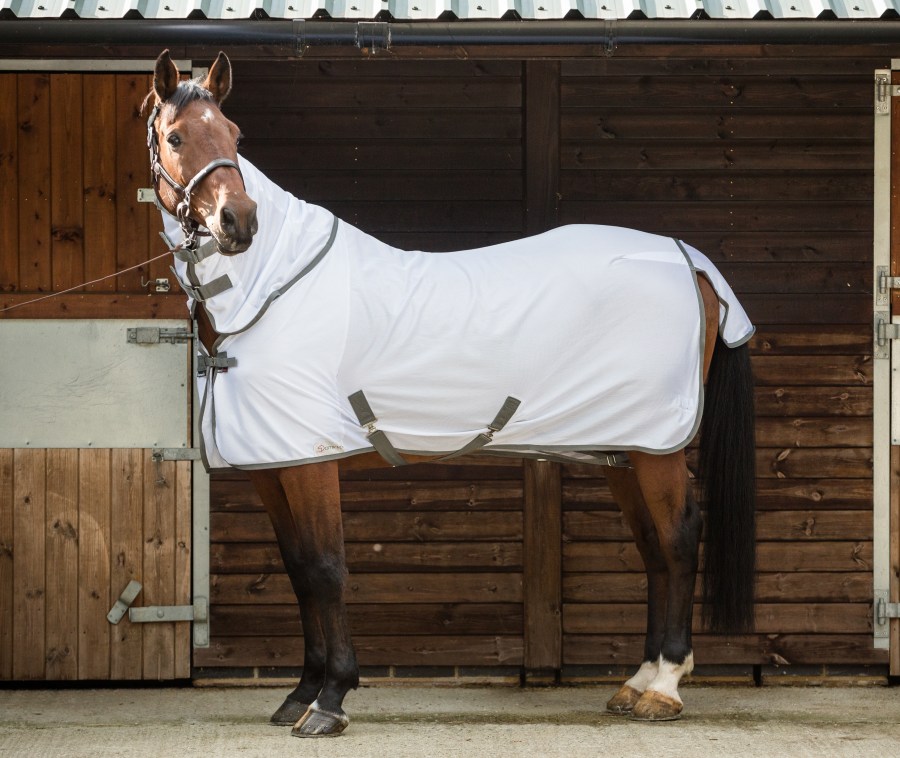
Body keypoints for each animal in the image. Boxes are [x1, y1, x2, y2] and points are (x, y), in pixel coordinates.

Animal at [145, 49, 756, 737]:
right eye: (175, 138)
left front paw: (332, 699)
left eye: (235, 136)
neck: (273, 288)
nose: (239, 222)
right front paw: (300, 695)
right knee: (653, 545)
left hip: (658, 448)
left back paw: (667, 687)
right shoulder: (273, 467)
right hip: (628, 448)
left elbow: (327, 569)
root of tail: (692, 261)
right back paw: (638, 681)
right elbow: (300, 570)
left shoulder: (311, 463)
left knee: (678, 537)